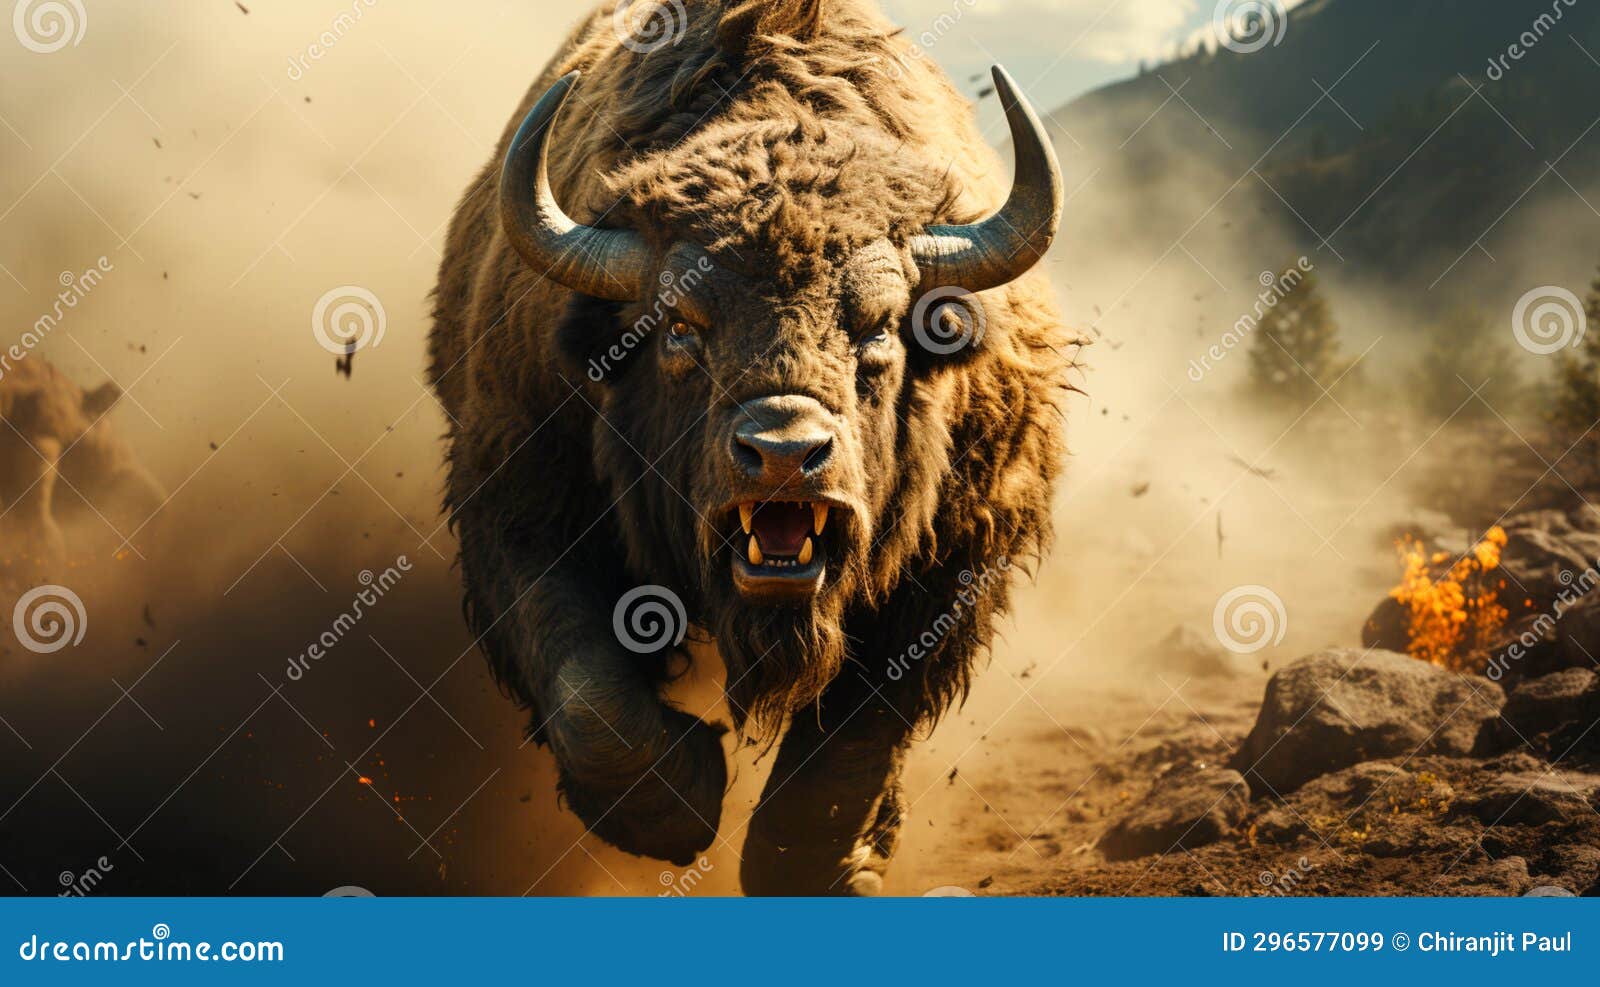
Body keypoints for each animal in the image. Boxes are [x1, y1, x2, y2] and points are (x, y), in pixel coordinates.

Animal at [429, 0, 1071, 894]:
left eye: (879, 326)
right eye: (678, 328)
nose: (784, 453)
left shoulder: (958, 559)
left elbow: (854, 741)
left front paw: (833, 865)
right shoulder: (517, 502)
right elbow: (589, 695)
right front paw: (684, 800)